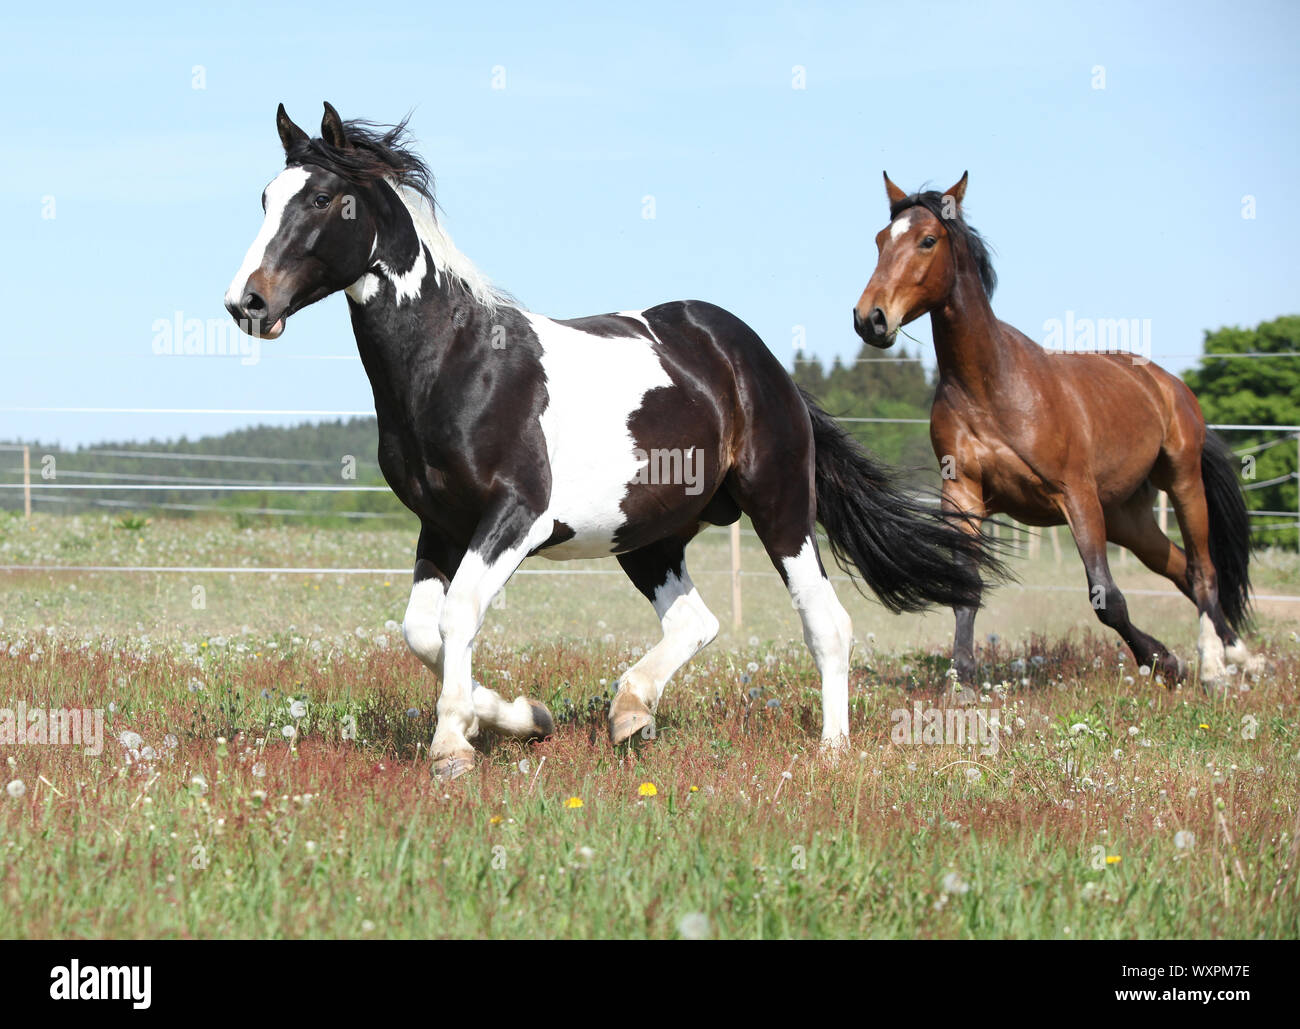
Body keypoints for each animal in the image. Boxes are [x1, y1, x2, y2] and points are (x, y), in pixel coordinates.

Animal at [224, 103, 1002, 778]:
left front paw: (452, 746)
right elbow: (425, 629)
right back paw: (630, 711)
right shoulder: (441, 525)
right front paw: (519, 716)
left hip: (780, 507)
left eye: (324, 199)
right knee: (696, 622)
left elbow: (459, 616)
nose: (246, 303)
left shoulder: (517, 515)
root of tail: (760, 362)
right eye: (265, 197)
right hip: (647, 536)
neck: (456, 362)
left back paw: (831, 749)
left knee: (826, 622)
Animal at [852, 171, 1259, 690]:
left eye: (927, 240)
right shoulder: (962, 494)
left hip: (1183, 482)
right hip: (1129, 519)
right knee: (1180, 569)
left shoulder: (1076, 496)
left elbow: (1107, 598)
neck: (992, 388)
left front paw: (1163, 659)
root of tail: (1167, 384)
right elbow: (967, 588)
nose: (870, 318)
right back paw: (1244, 657)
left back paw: (1213, 667)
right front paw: (962, 678)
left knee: (1203, 570)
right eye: (880, 240)